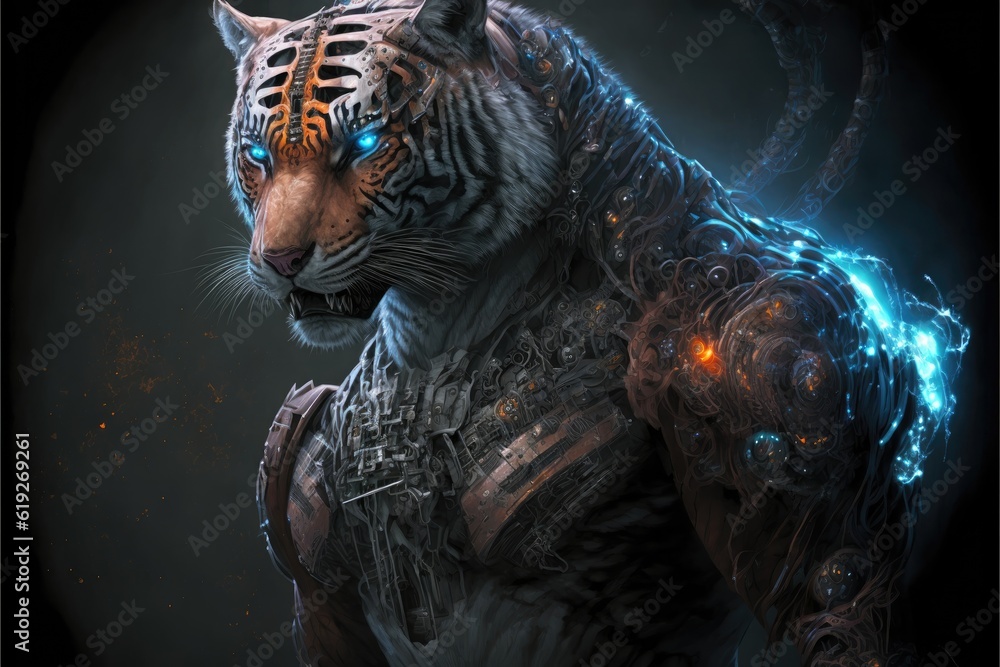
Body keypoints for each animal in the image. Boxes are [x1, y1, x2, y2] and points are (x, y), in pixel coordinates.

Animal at [212, 0, 964, 665]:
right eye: (257, 155)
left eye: (364, 144)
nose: (279, 261)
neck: (432, 330)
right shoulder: (322, 594)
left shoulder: (793, 365)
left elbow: (829, 603)